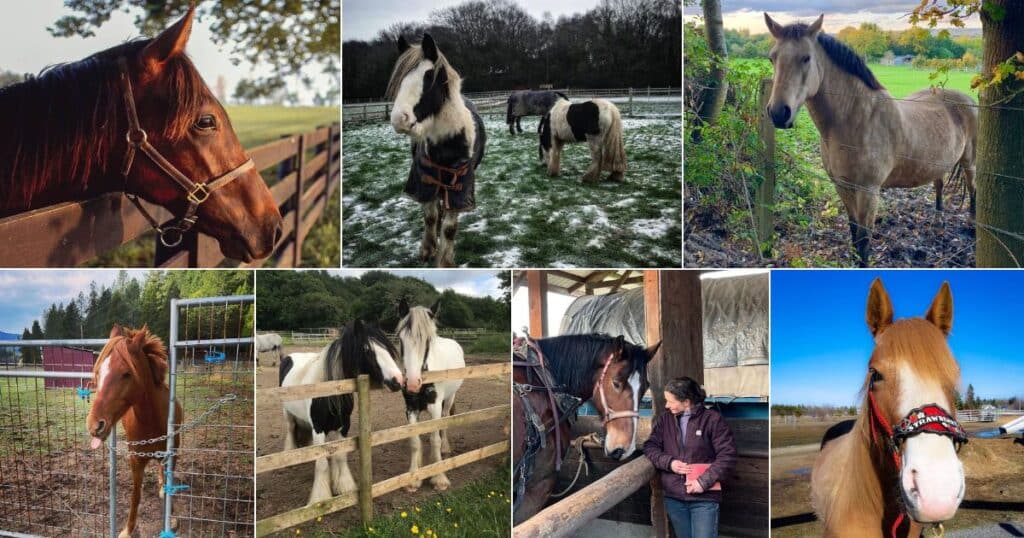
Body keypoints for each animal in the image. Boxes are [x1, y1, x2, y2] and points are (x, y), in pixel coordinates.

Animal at [86, 324, 183, 538]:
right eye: (98, 372)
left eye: (126, 373)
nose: (94, 426)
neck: (152, 421)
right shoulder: (135, 460)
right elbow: (135, 495)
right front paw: (128, 530)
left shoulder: (172, 454)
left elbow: (169, 482)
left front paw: (171, 518)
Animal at [279, 320, 404, 505]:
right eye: (366, 349)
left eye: (387, 349)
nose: (398, 381)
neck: (329, 393)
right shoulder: (318, 429)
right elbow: (322, 463)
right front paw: (320, 498)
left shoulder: (344, 427)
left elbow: (340, 456)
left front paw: (344, 488)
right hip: (288, 414)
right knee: (290, 430)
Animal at [386, 34, 487, 267]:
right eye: (401, 79)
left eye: (428, 76)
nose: (399, 119)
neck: (448, 144)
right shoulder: (424, 180)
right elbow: (430, 216)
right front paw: (428, 249)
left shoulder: (460, 186)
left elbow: (449, 228)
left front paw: (445, 261)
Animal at [394, 298, 465, 492]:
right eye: (401, 339)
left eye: (427, 341)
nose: (412, 383)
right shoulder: (410, 408)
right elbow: (414, 441)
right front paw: (414, 478)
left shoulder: (435, 406)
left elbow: (434, 440)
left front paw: (439, 478)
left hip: (449, 399)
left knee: (444, 422)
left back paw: (445, 448)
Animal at [764, 14, 977, 267]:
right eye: (772, 58)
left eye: (806, 57)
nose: (778, 113)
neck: (856, 121)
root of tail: (966, 99)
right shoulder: (843, 186)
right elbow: (854, 231)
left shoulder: (868, 191)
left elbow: (864, 241)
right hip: (938, 163)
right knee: (939, 184)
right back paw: (938, 221)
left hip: (969, 161)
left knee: (973, 189)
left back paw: (972, 227)